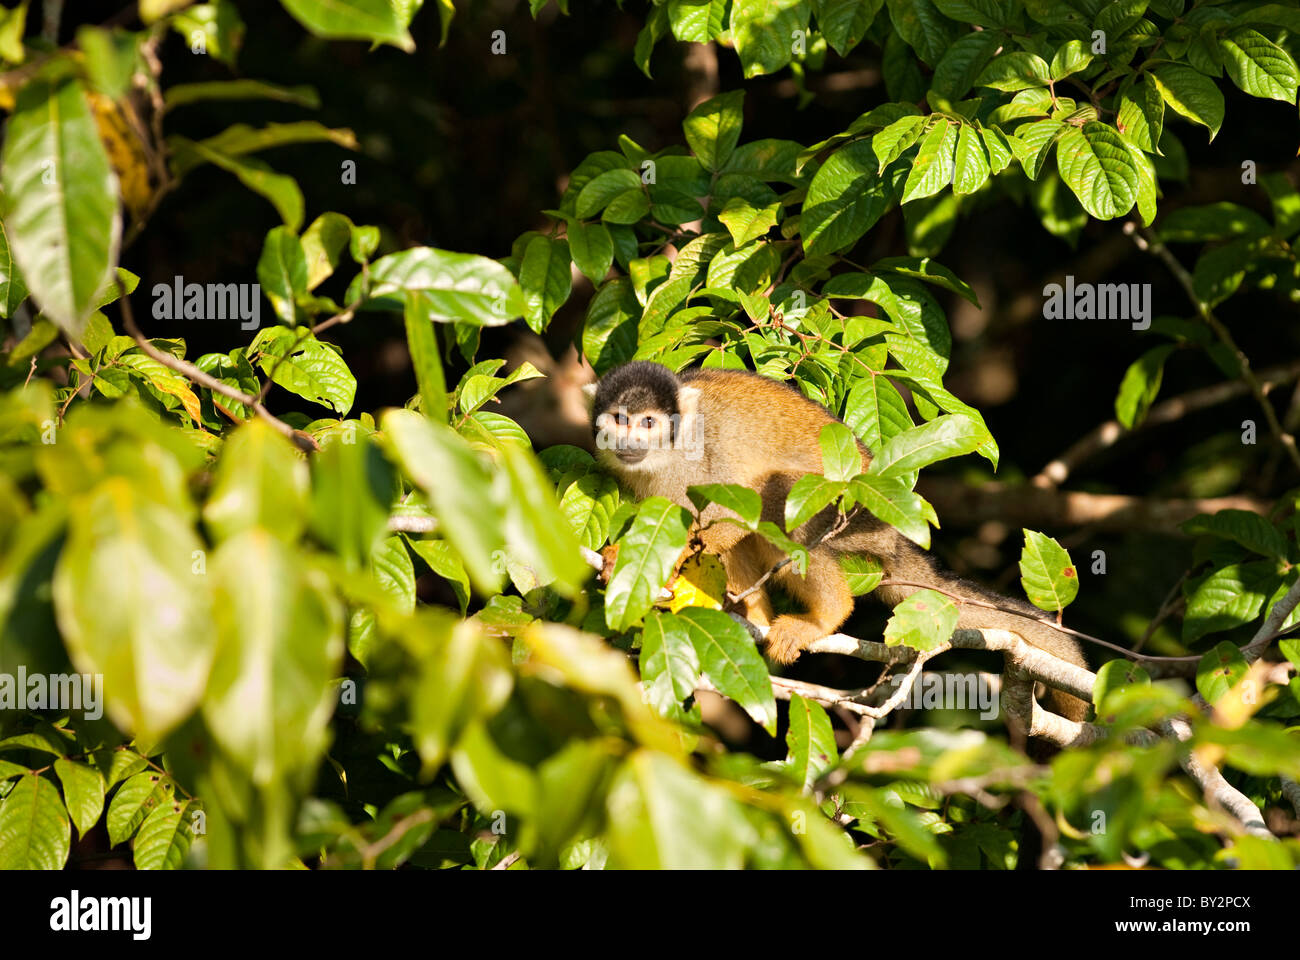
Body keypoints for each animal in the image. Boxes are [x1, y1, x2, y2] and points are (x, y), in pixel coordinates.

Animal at [586, 360, 1091, 723]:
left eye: (648, 422)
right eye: (621, 419)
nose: (630, 440)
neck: (667, 455)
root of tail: (895, 540)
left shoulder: (705, 455)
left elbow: (734, 507)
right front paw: (621, 560)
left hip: (852, 512)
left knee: (777, 497)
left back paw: (827, 613)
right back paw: (751, 613)